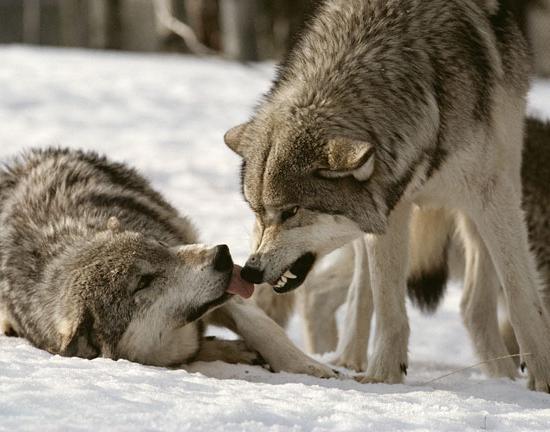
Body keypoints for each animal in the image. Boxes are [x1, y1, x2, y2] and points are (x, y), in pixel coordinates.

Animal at [0, 148, 336, 378]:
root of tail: (25, 162)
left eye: (160, 247)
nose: (222, 255)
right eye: (143, 282)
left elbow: (265, 330)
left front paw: (309, 369)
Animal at [223, 0, 550, 392]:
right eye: (257, 211)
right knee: (356, 294)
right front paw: (383, 376)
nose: (251, 270)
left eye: (291, 211)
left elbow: (521, 297)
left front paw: (543, 378)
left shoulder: (493, 194)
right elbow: (387, 303)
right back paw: (347, 358)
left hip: (482, 202)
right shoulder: (391, 208)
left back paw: (501, 377)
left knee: (474, 305)